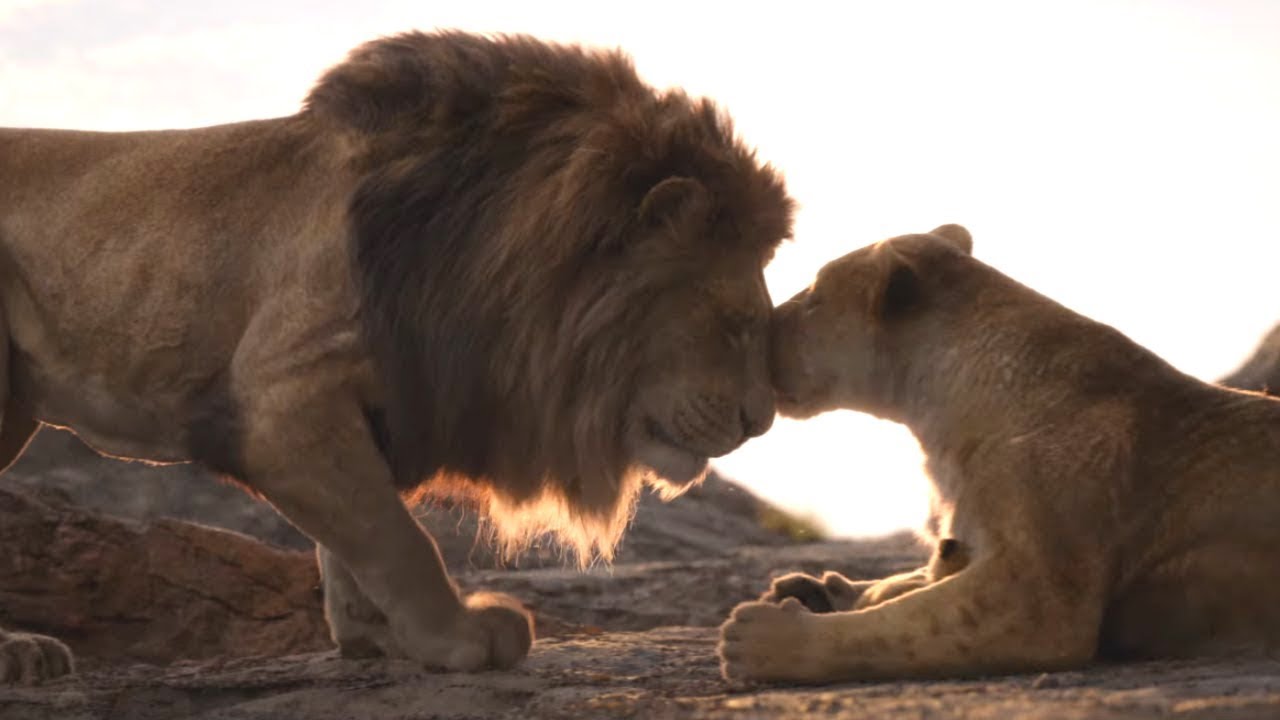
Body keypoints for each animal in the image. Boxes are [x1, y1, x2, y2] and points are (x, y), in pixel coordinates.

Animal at [0, 30, 794, 684]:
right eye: (735, 324)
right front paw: (457, 637)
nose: (761, 420)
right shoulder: (279, 398)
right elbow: (398, 537)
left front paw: (376, 637)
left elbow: (355, 540)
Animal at [718, 224, 1280, 684]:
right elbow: (910, 589)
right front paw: (821, 589)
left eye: (814, 297)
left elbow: (899, 627)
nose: (760, 331)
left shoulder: (1040, 596)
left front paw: (759, 638)